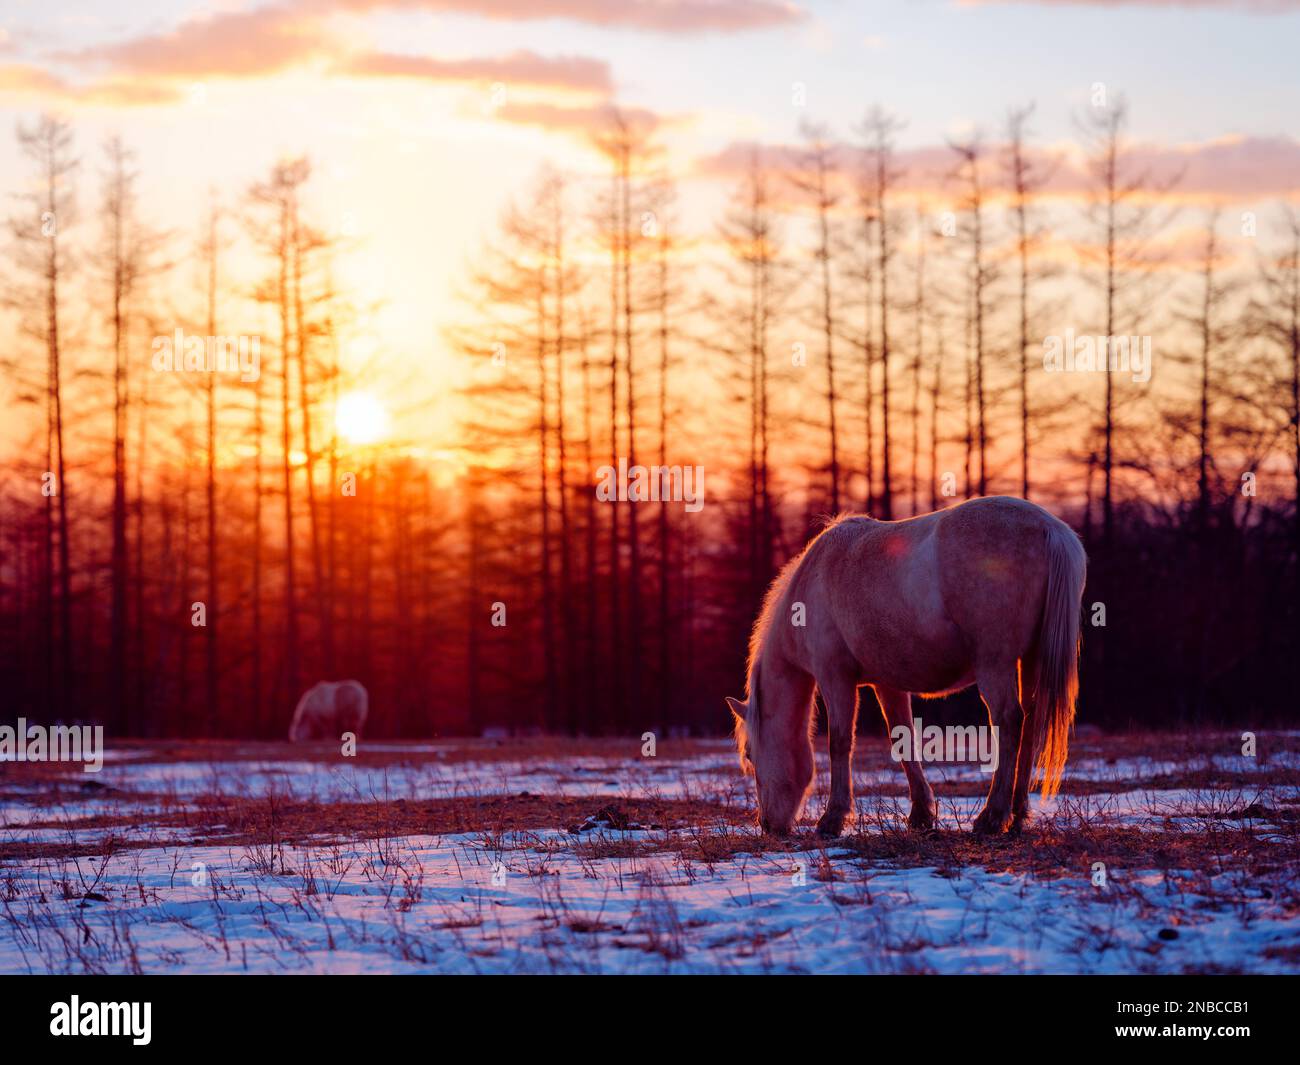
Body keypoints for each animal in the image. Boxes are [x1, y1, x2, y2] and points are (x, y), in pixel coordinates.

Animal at [726, 496, 1086, 838]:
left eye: (750, 756)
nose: (767, 825)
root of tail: (1050, 528)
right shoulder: (886, 683)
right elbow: (903, 739)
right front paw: (921, 814)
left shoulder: (835, 677)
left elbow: (839, 742)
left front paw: (832, 819)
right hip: (1030, 659)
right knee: (1033, 721)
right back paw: (1019, 815)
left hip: (995, 663)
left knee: (1009, 720)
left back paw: (993, 817)